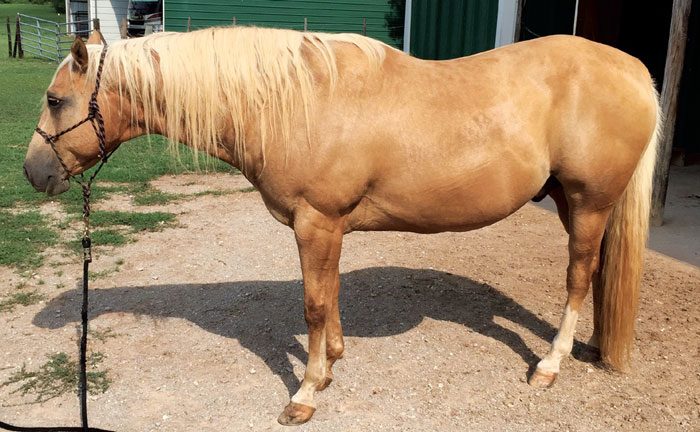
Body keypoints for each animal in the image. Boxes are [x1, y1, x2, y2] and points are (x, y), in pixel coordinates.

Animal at [23, 26, 660, 425]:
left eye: (54, 100)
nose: (32, 173)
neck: (292, 101)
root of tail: (631, 68)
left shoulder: (317, 222)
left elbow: (312, 303)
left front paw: (305, 394)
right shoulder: (322, 229)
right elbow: (328, 297)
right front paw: (331, 363)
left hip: (589, 202)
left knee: (579, 278)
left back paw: (550, 364)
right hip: (573, 202)